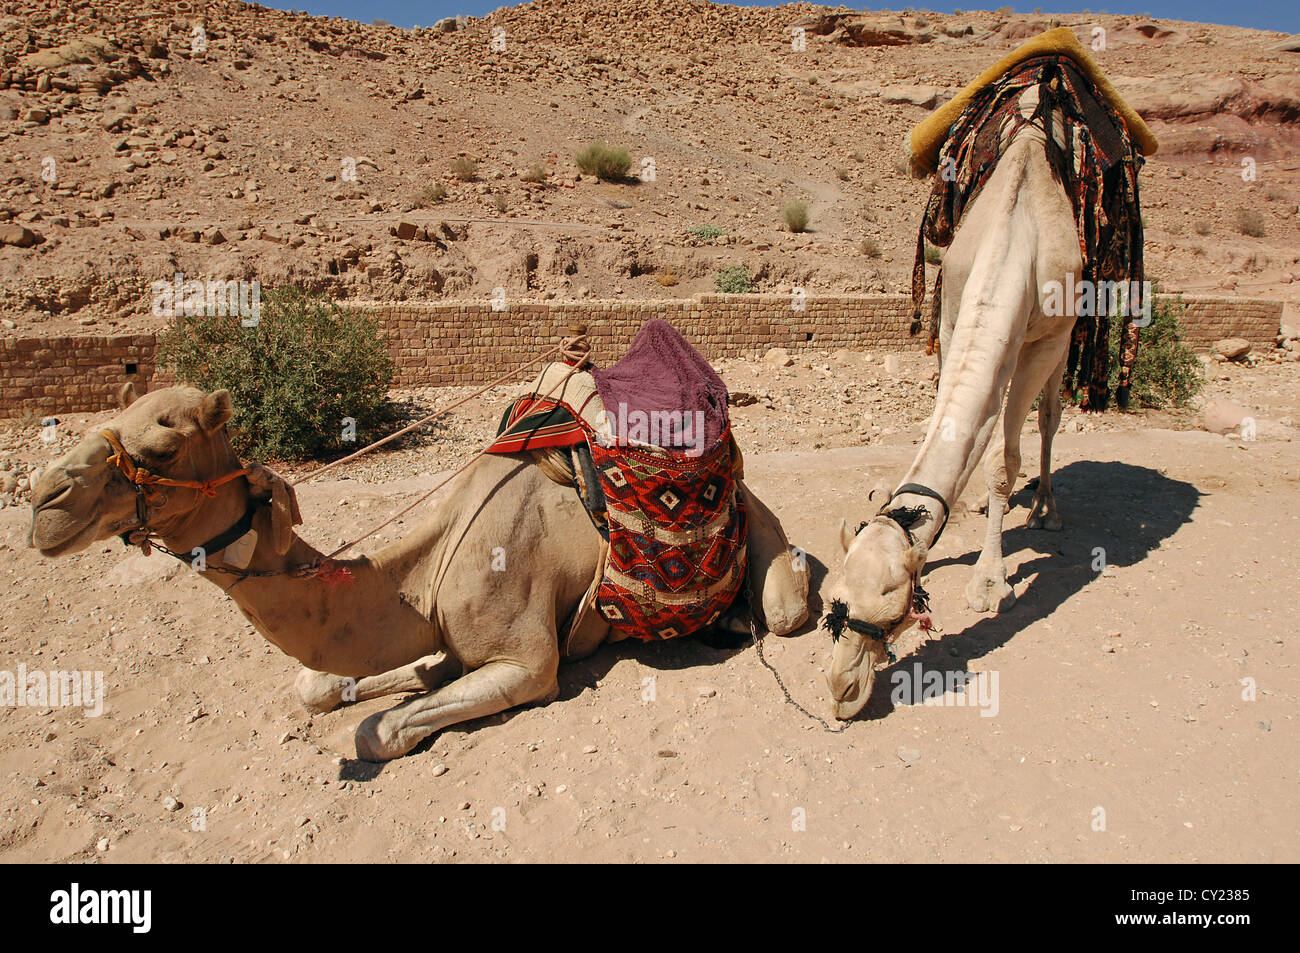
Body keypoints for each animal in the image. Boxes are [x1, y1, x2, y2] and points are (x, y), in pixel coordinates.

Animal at [29, 383, 808, 760]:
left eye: (162, 448)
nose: (41, 499)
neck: (426, 570)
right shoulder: (437, 633)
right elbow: (318, 686)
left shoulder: (527, 663)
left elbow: (374, 732)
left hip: (759, 528)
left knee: (789, 603)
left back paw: (745, 614)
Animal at [827, 55, 1151, 720]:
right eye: (835, 598)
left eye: (893, 613)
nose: (840, 691)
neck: (1014, 236)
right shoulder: (954, 318)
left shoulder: (1045, 340)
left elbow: (1008, 460)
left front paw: (987, 581)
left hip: (1065, 338)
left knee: (1046, 422)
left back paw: (1048, 510)